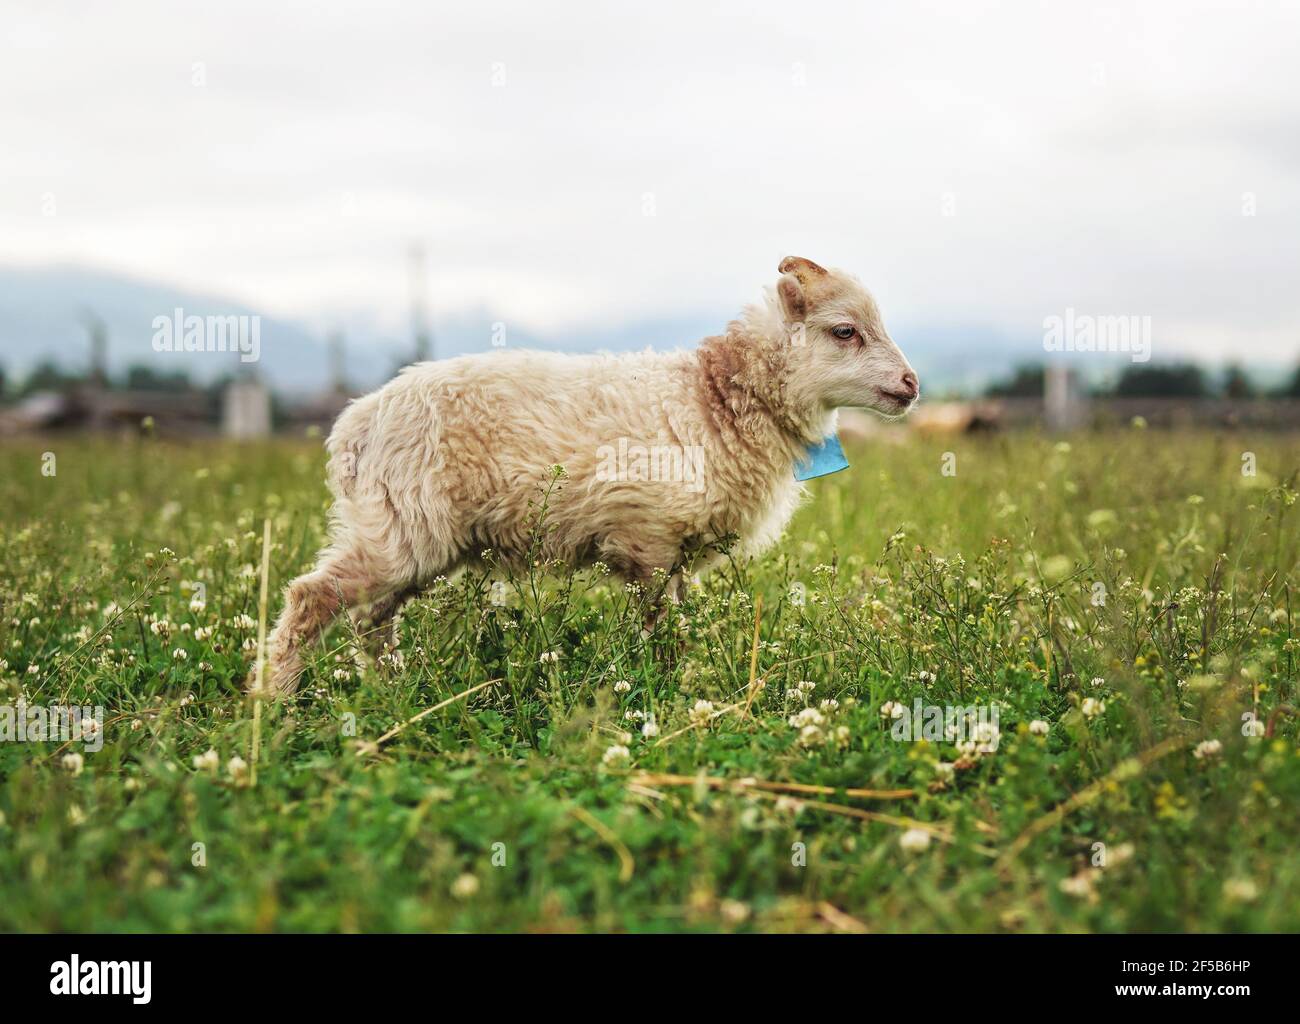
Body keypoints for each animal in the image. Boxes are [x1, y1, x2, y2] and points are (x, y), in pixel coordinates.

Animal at [256, 256, 919, 696]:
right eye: (844, 330)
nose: (912, 385)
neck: (716, 399)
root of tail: (356, 424)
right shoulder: (648, 537)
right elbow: (662, 630)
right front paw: (671, 690)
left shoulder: (673, 554)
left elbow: (675, 624)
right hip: (403, 527)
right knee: (311, 597)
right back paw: (276, 700)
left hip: (413, 538)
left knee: (371, 618)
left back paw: (389, 693)